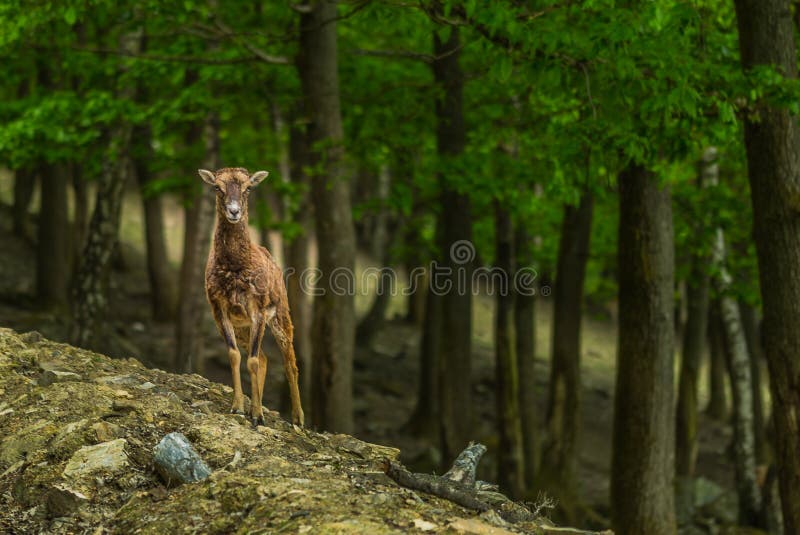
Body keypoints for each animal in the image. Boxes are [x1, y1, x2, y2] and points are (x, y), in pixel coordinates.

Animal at [199, 167, 304, 428]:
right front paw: (238, 407)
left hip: (280, 316)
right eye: (217, 187)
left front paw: (257, 415)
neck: (235, 269)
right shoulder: (220, 310)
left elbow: (253, 361)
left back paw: (298, 418)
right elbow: (235, 355)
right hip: (242, 327)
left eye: (248, 188)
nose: (234, 211)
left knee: (290, 362)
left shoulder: (258, 309)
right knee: (265, 358)